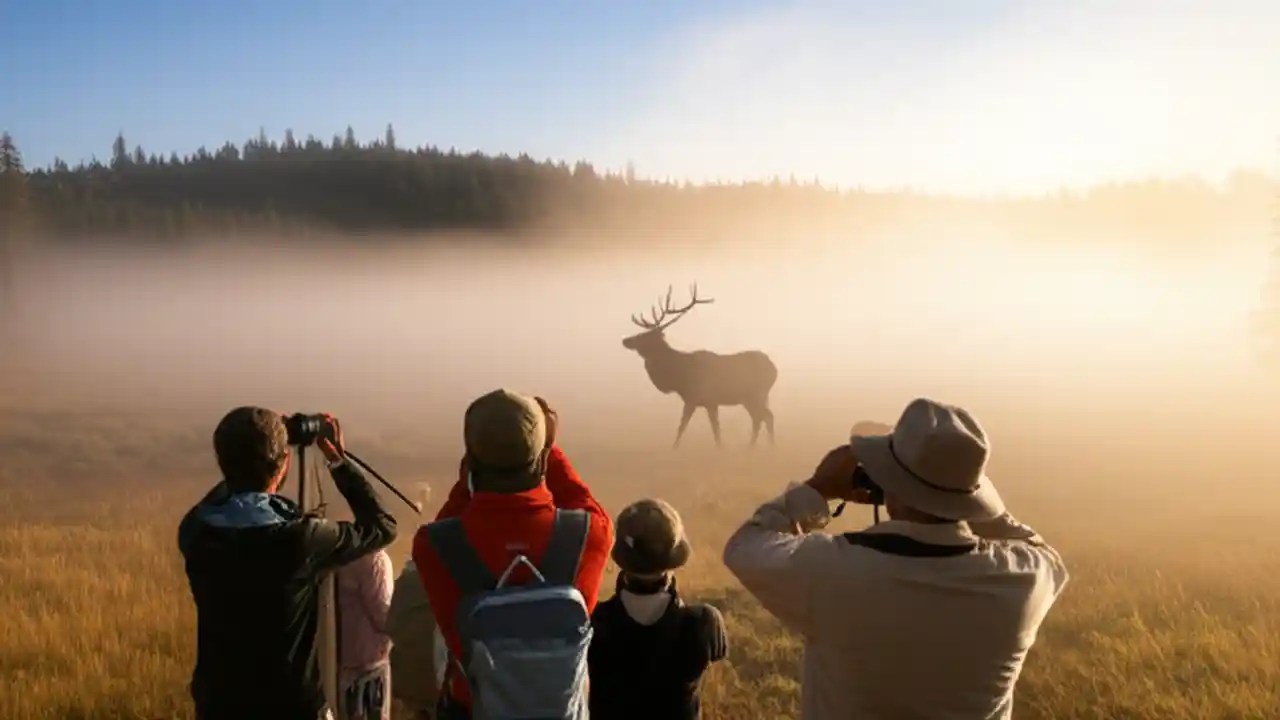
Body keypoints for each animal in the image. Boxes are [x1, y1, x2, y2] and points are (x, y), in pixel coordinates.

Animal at [622, 284, 778, 448]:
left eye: (642, 336)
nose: (625, 340)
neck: (680, 377)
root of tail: (774, 369)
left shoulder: (699, 399)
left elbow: (686, 428)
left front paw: (674, 448)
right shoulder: (707, 402)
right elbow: (713, 430)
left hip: (756, 394)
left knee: (765, 417)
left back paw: (759, 447)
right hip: (752, 398)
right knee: (762, 417)